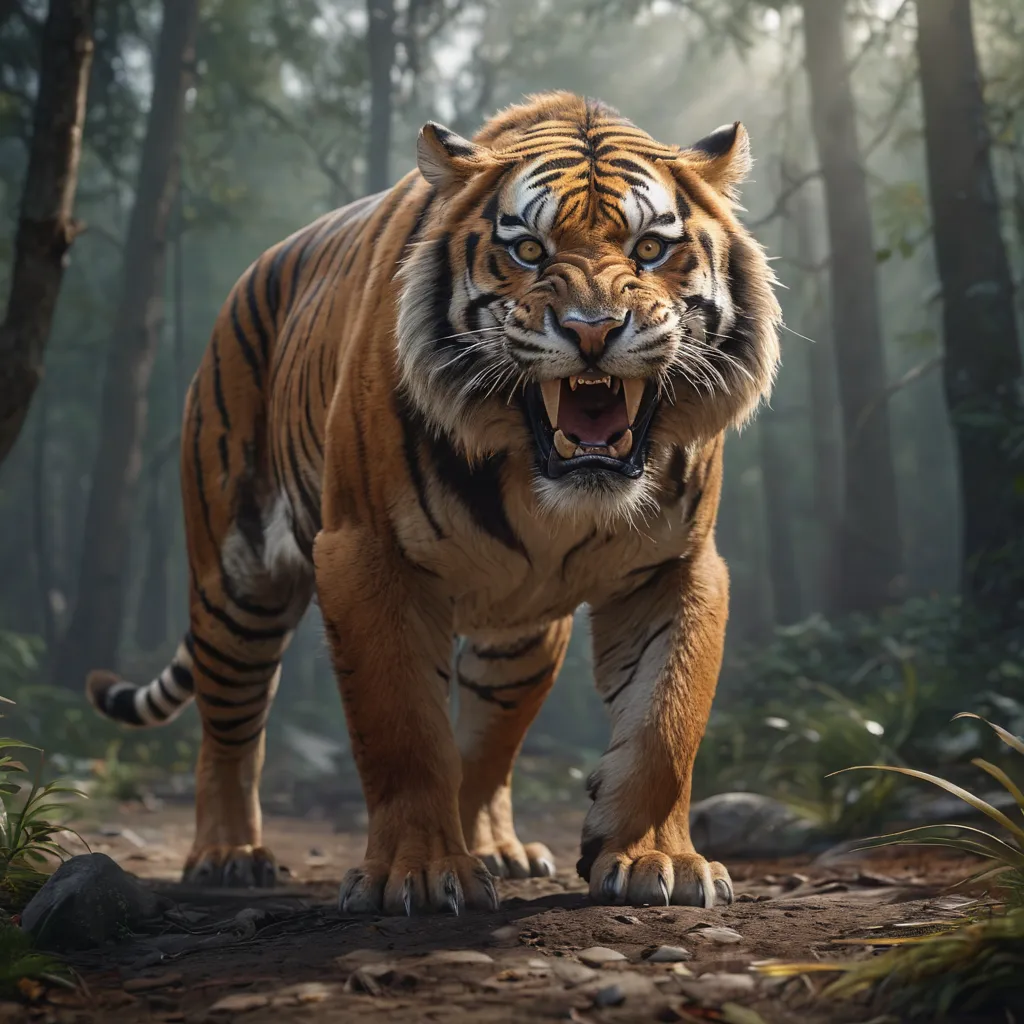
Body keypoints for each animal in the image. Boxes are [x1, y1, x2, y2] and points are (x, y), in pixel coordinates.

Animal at [85, 91, 780, 914]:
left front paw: (655, 859)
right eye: (529, 252)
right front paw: (415, 874)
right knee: (228, 728)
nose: (593, 331)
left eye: (648, 249)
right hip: (237, 587)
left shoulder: (678, 567)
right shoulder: (363, 554)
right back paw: (228, 855)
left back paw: (498, 849)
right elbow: (403, 729)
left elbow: (666, 723)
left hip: (519, 640)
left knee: (490, 749)